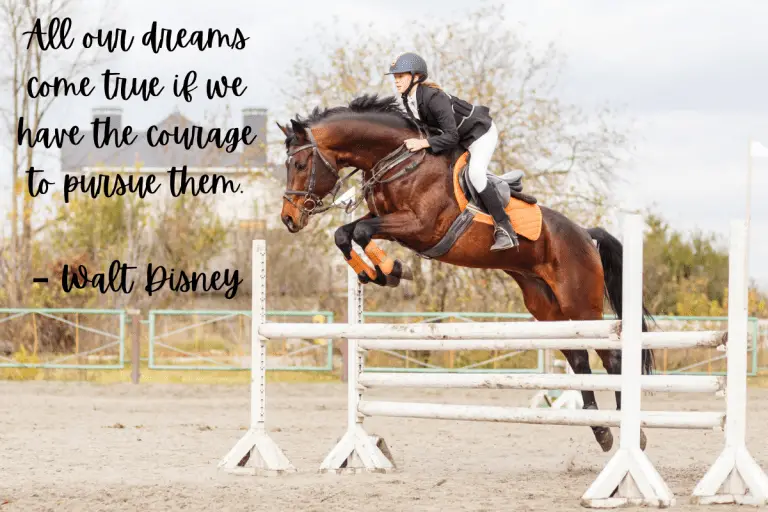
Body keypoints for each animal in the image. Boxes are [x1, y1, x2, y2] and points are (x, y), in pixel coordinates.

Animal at [276, 94, 655, 453]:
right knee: (578, 358)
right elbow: (347, 233)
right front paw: (384, 273)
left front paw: (389, 271)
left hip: (579, 302)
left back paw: (631, 434)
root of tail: (586, 235)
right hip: (546, 306)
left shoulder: (419, 226)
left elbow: (361, 231)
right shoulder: (389, 220)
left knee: (612, 357)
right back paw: (601, 430)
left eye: (300, 164)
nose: (289, 219)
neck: (399, 160)